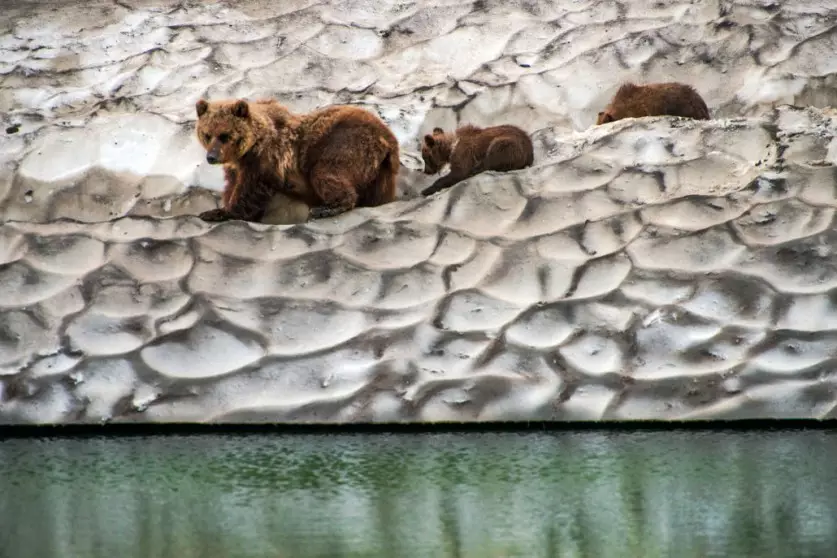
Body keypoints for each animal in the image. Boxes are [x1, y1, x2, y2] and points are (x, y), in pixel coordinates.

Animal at [194, 97, 400, 222]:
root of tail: (388, 138)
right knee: (378, 194)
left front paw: (217, 212)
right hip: (381, 172)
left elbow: (249, 189)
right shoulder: (236, 166)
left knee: (325, 172)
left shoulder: (265, 159)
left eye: (224, 135)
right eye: (207, 134)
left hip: (346, 143)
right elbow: (232, 184)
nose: (211, 157)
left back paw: (326, 208)